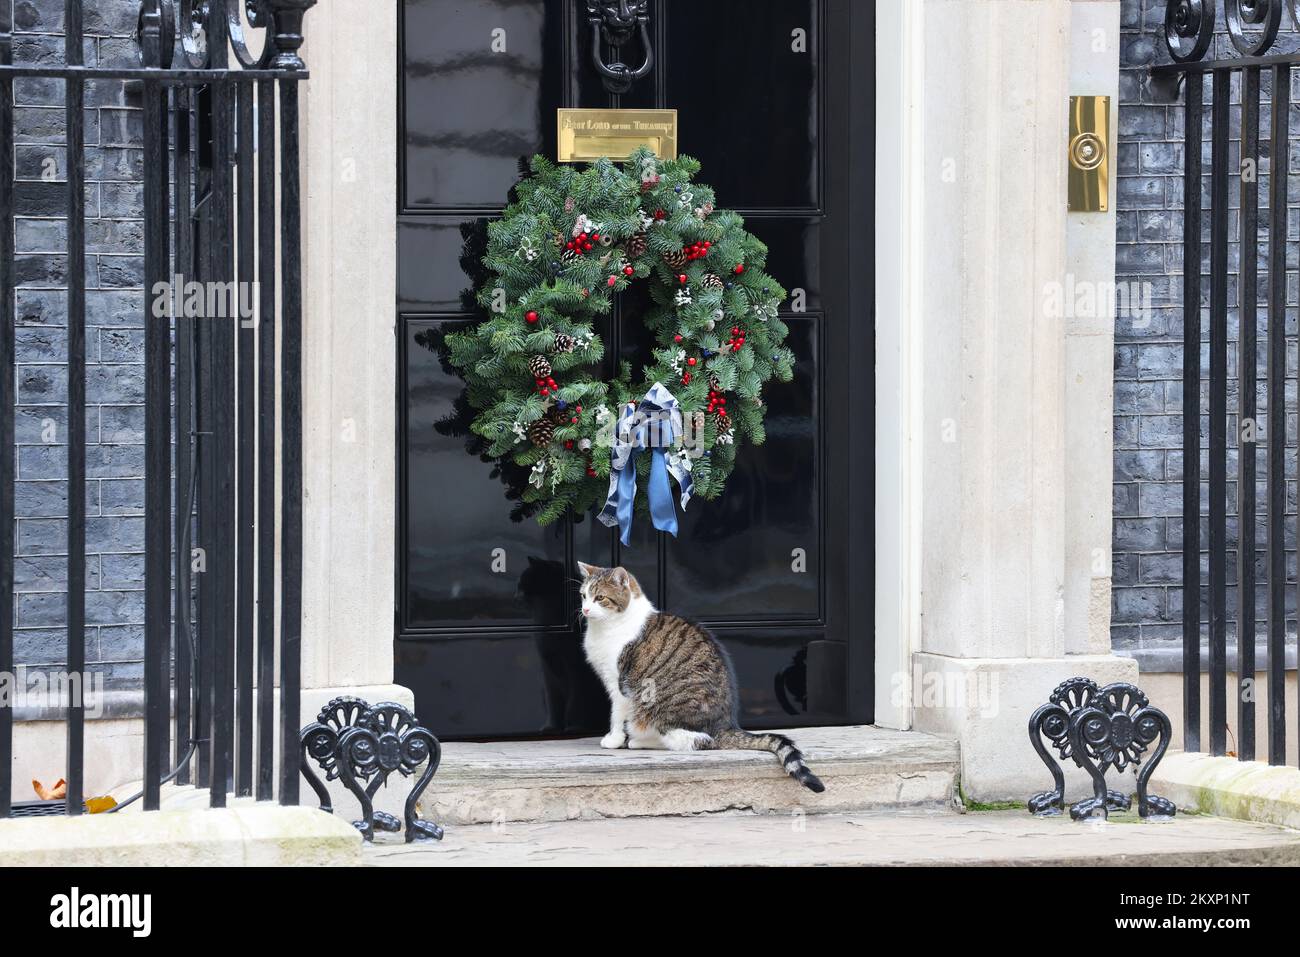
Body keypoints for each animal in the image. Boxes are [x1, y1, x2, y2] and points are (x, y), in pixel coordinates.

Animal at [577, 561, 821, 790]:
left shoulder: (618, 683)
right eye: (583, 596)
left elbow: (616, 715)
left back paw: (638, 741)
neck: (605, 627)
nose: (585, 610)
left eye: (600, 598)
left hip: (658, 707)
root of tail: (726, 725)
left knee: (695, 741)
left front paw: (614, 739)